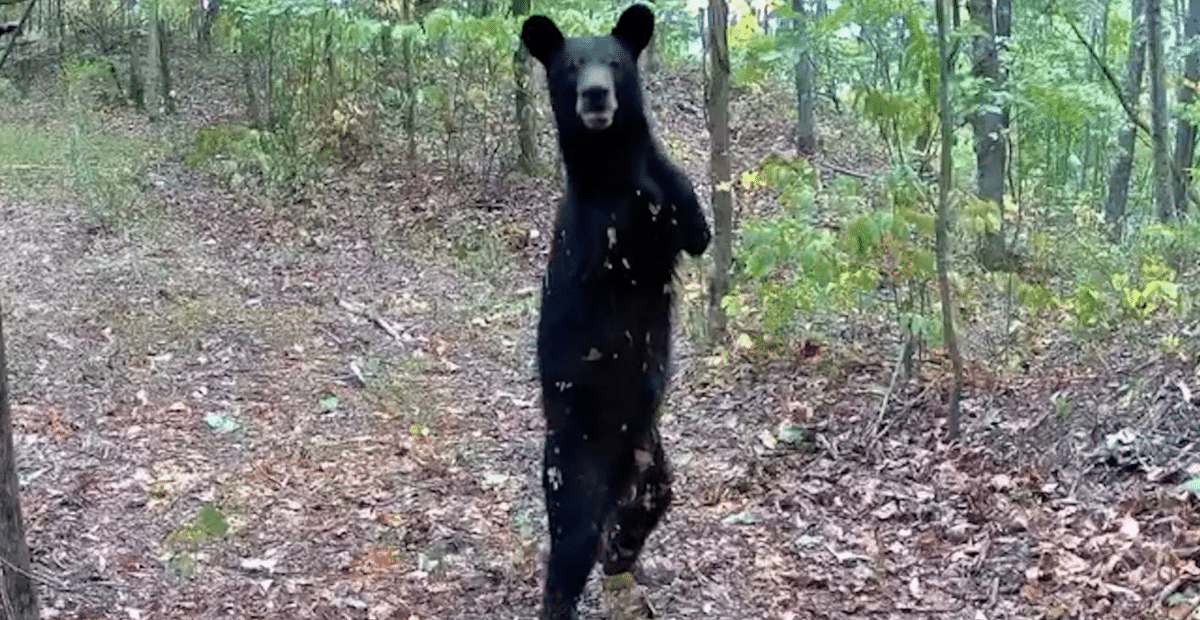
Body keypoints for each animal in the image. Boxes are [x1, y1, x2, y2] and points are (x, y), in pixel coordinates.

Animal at [521, 5, 711, 620]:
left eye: (616, 62)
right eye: (572, 66)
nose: (596, 94)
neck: (610, 161)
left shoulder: (670, 196)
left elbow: (693, 222)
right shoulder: (597, 230)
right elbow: (624, 233)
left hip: (652, 462)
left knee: (644, 508)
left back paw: (621, 557)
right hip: (575, 463)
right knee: (570, 548)